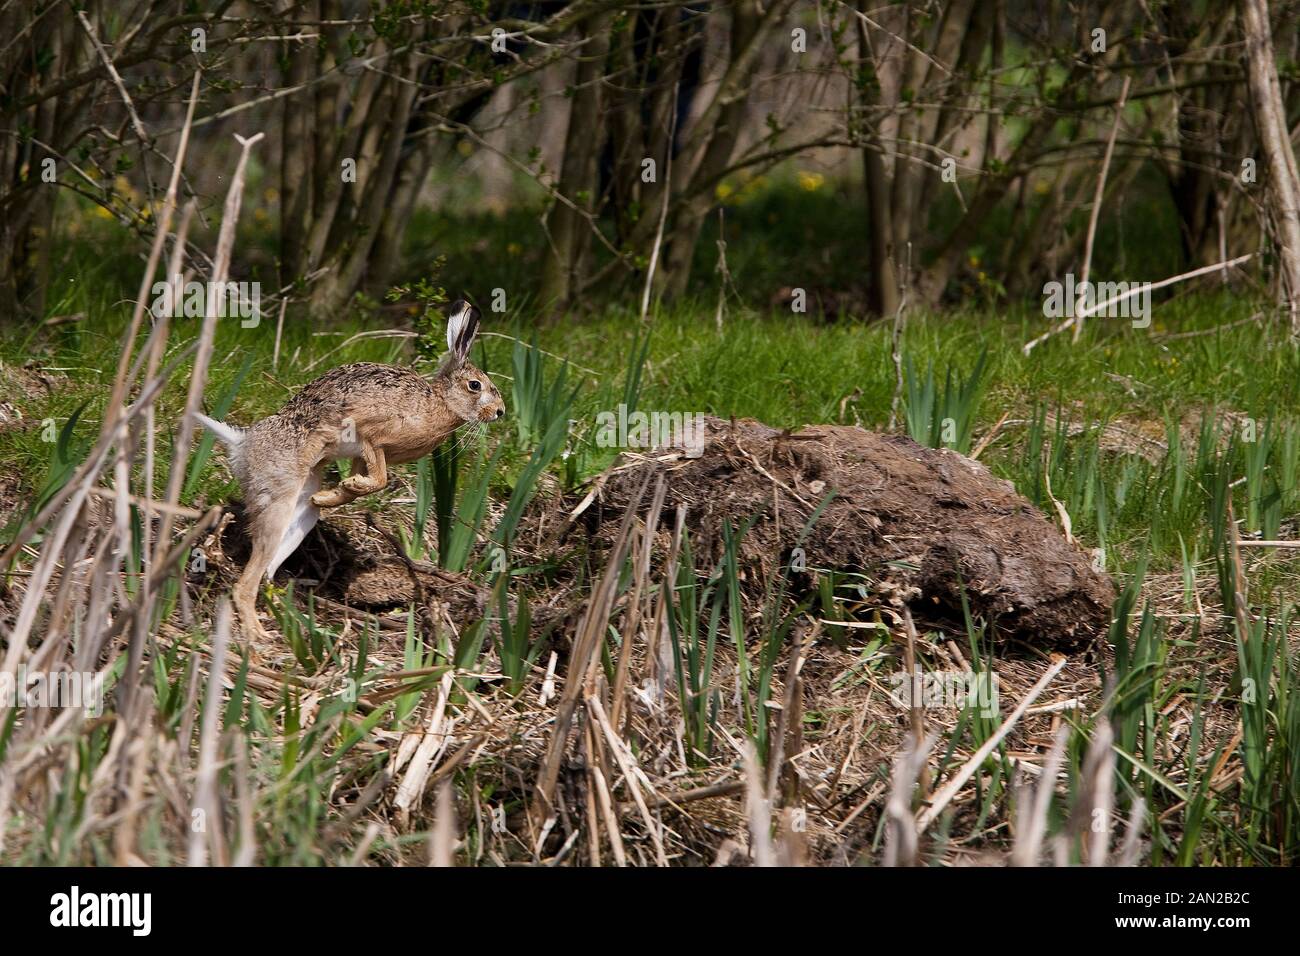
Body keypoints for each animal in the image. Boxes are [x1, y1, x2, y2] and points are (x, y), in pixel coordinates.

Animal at [194, 299, 505, 641]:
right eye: (475, 386)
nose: (500, 412)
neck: (440, 402)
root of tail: (242, 444)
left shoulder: (364, 453)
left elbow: (363, 481)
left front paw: (339, 491)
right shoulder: (370, 434)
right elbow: (380, 478)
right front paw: (351, 486)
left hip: (299, 517)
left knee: (273, 562)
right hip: (277, 501)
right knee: (245, 582)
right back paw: (256, 632)